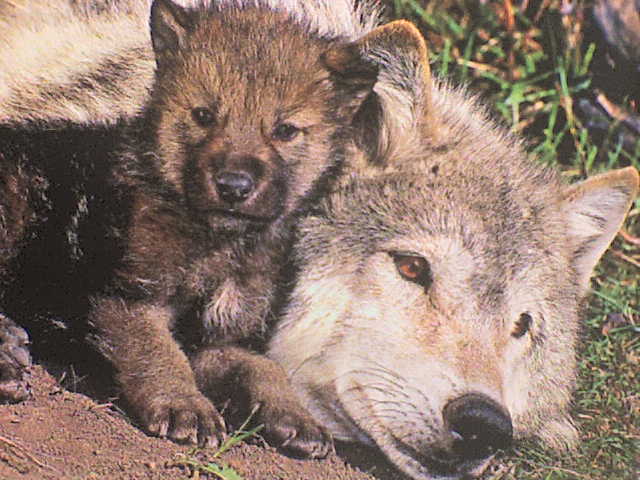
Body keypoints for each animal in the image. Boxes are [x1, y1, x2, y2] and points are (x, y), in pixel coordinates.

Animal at [0, 0, 431, 457]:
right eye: (204, 115)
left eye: (285, 130)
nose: (234, 186)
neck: (219, 245)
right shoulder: (129, 299)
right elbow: (157, 354)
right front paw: (184, 406)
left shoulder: (217, 340)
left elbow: (262, 366)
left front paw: (295, 416)